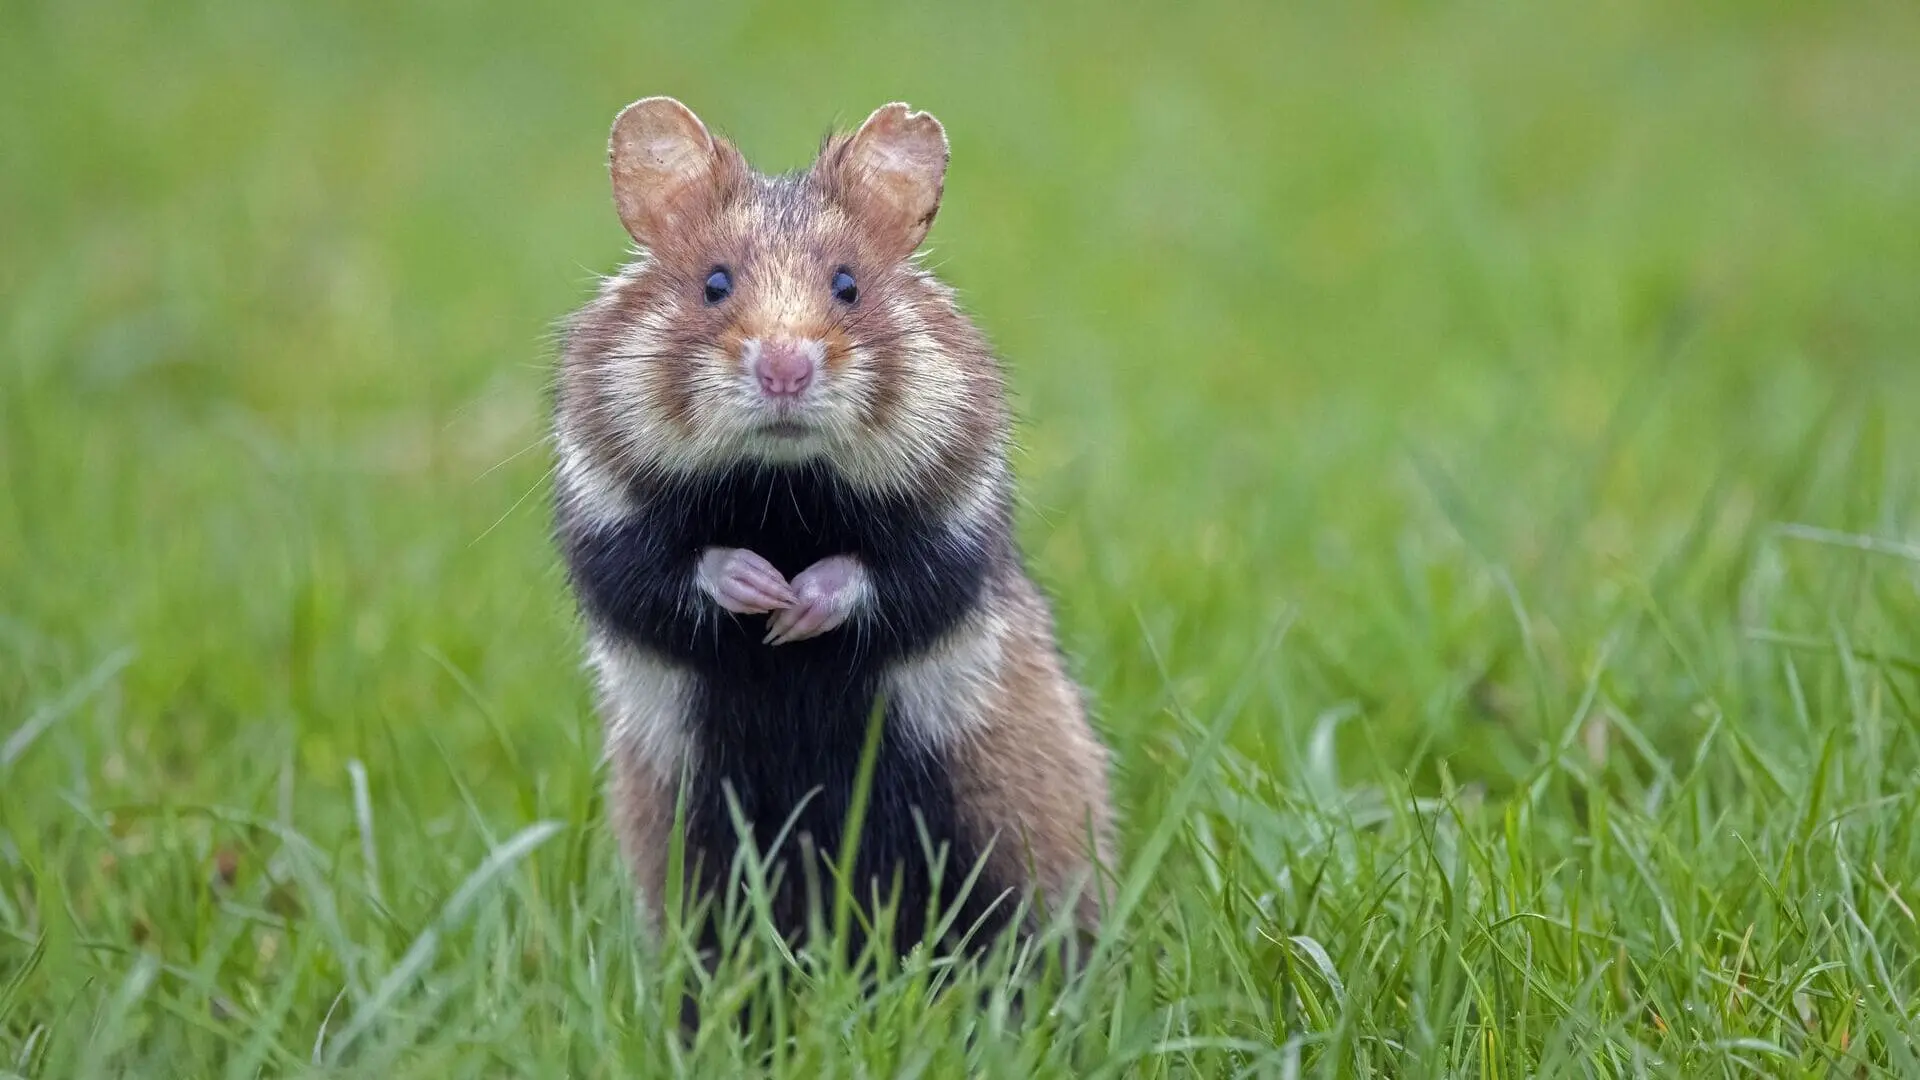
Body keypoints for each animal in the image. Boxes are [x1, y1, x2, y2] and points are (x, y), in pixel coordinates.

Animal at [552, 96, 1114, 962]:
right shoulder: (604, 522)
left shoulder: (955, 530)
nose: (785, 370)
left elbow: (888, 578)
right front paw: (761, 590)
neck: (782, 490)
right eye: (715, 283)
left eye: (847, 285)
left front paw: (794, 611)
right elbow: (665, 574)